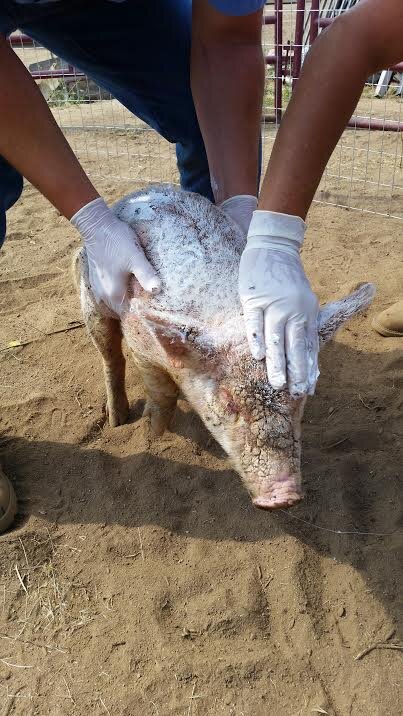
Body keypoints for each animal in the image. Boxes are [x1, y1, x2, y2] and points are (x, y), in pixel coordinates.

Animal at [73, 185, 375, 510]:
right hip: (92, 293)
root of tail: (139, 191)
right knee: (110, 356)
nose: (284, 496)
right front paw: (152, 432)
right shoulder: (140, 340)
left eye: (300, 398)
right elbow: (161, 392)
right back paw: (117, 419)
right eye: (229, 401)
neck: (230, 315)